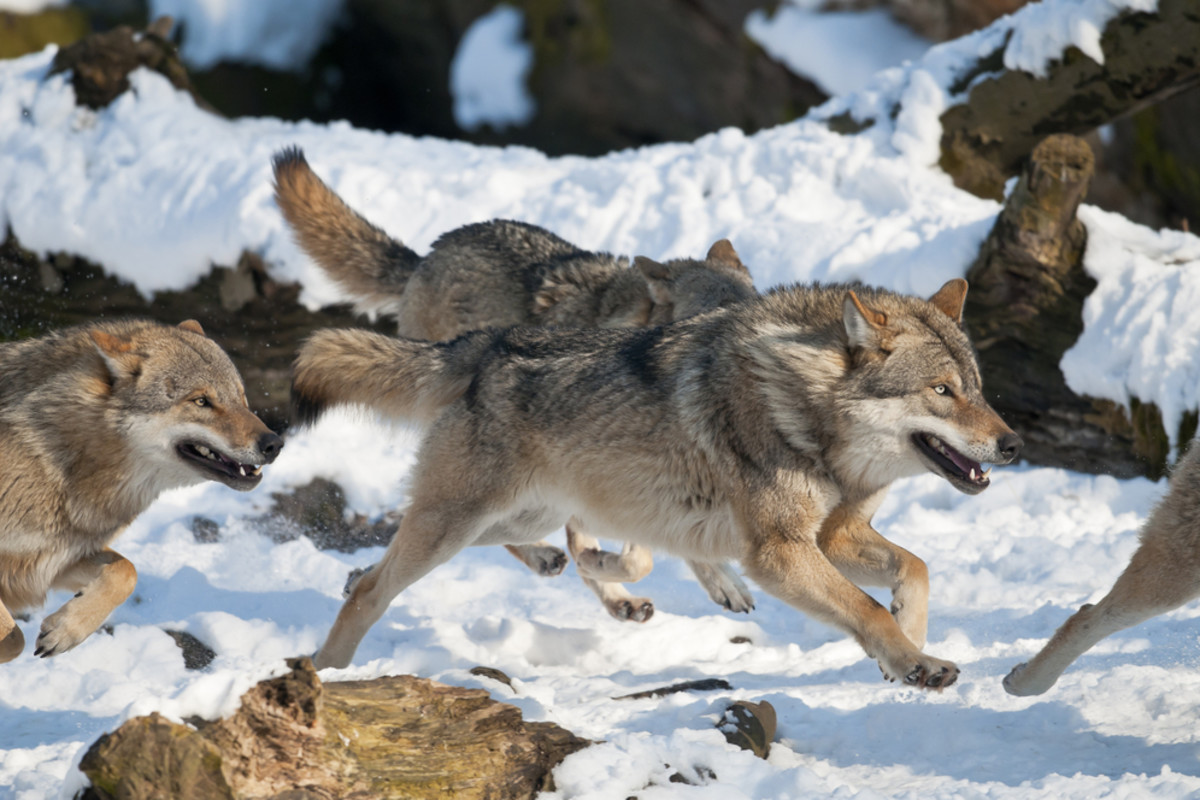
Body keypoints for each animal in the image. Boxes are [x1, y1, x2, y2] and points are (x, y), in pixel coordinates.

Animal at [0, 319, 283, 663]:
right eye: (201, 401)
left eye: (241, 398)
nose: (274, 444)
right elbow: (13, 640)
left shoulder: (56, 561)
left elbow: (127, 572)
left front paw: (66, 630)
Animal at [292, 279, 1022, 687]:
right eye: (942, 391)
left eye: (978, 389)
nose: (1013, 445)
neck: (808, 414)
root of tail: (487, 342)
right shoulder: (779, 553)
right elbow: (865, 608)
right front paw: (917, 663)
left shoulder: (835, 536)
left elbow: (915, 570)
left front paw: (910, 648)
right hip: (457, 522)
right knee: (374, 586)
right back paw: (326, 672)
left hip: (515, 514)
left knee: (426, 559)